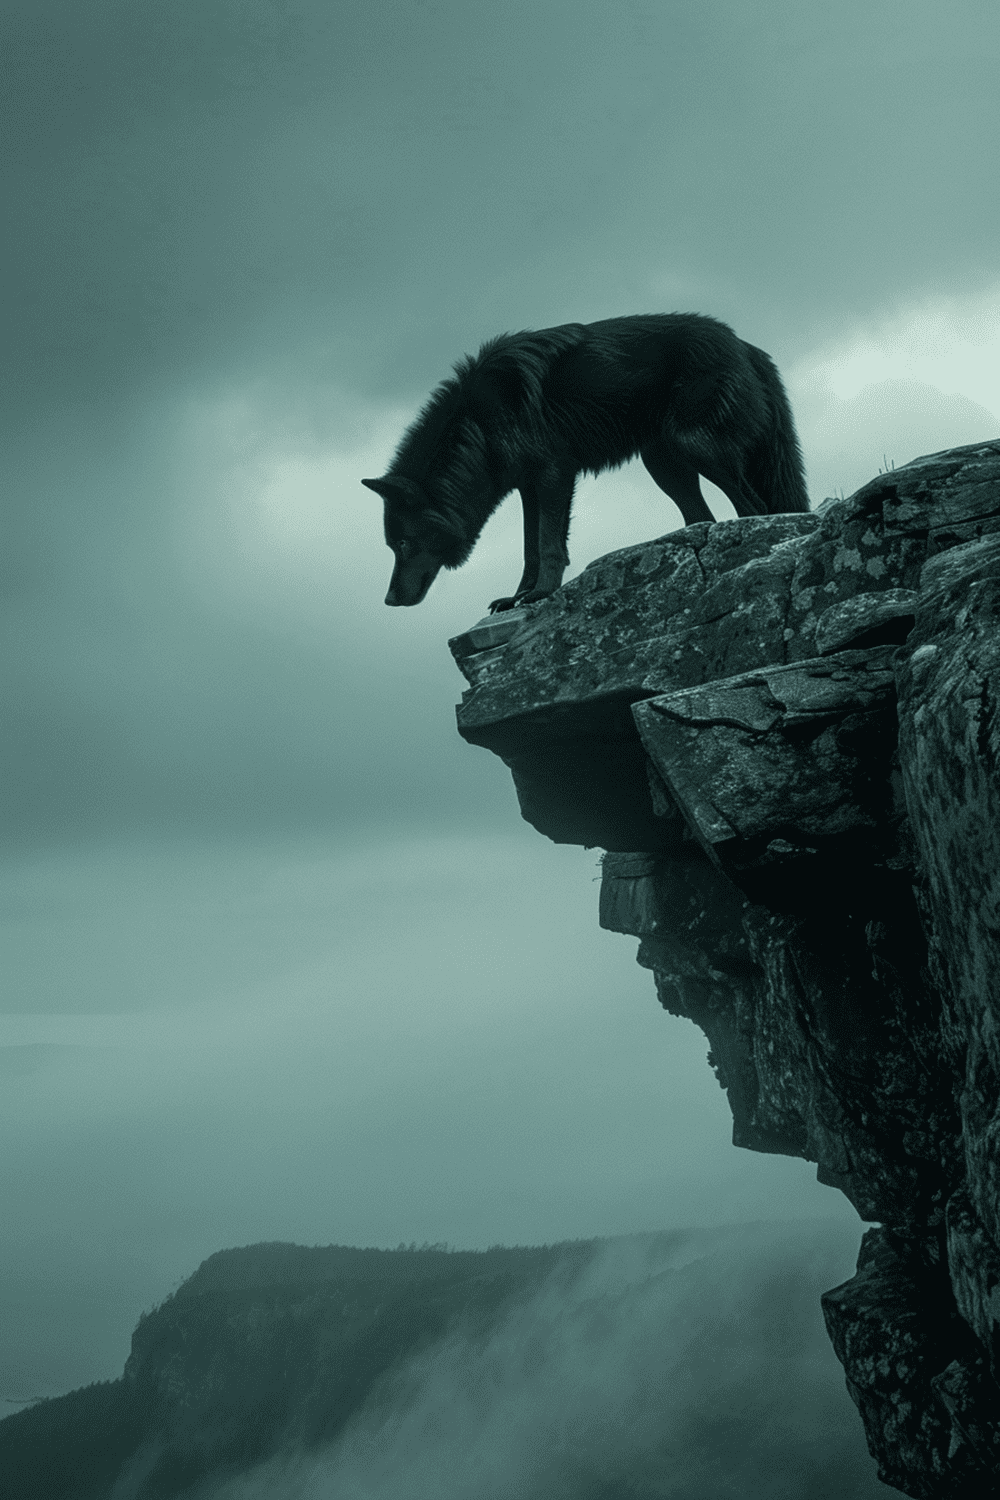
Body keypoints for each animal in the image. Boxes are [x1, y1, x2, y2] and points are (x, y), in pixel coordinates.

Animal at [362, 313, 809, 609]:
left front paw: (542, 594)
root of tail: (746, 346)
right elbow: (530, 546)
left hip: (698, 449)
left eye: (402, 543)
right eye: (391, 546)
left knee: (754, 507)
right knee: (705, 518)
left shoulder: (554, 474)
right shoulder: (528, 486)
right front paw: (518, 596)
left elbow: (549, 544)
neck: (477, 423)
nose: (388, 600)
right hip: (665, 467)